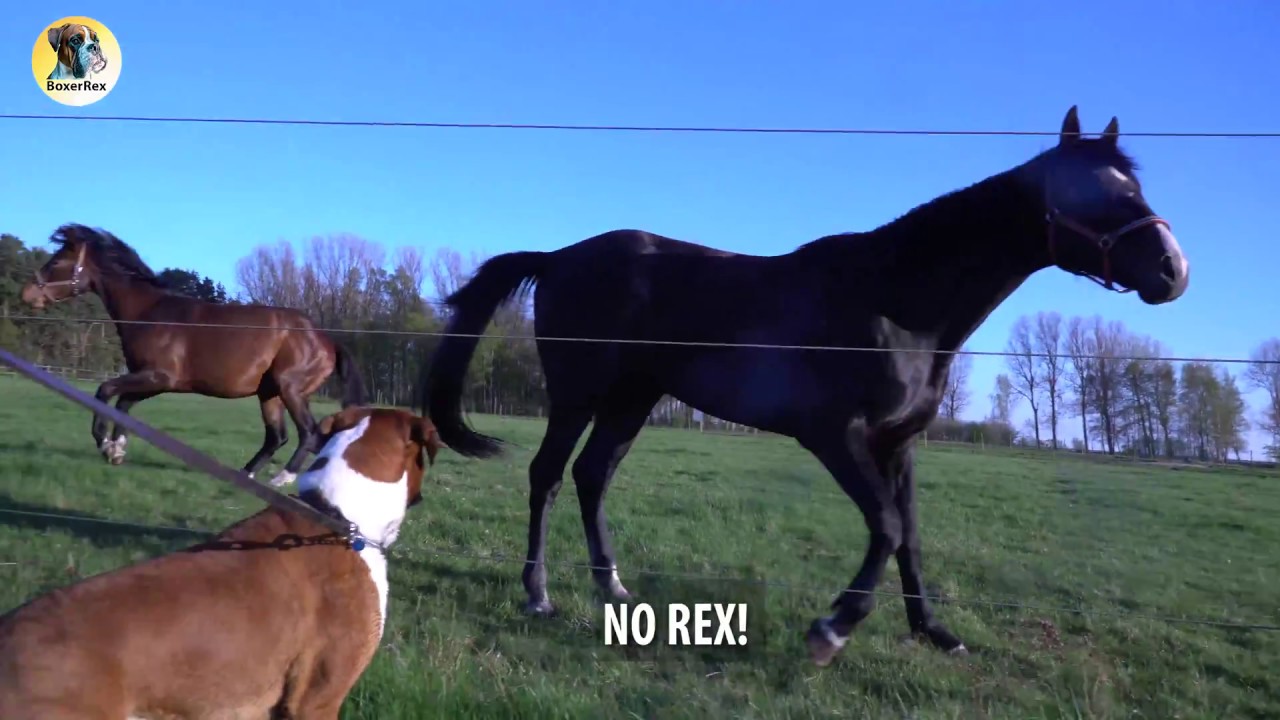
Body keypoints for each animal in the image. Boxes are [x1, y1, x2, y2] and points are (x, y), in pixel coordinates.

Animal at [19, 224, 367, 487]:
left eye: (55, 263)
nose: (27, 294)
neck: (149, 313)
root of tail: (326, 340)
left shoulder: (159, 376)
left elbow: (105, 392)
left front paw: (105, 446)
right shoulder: (156, 381)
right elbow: (124, 404)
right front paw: (117, 450)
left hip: (290, 390)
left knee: (308, 433)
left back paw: (282, 478)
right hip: (269, 394)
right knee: (276, 437)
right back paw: (244, 475)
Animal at [418, 106, 1190, 667]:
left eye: (1137, 185)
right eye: (1097, 191)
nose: (1173, 270)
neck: (896, 304)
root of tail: (557, 258)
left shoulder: (899, 444)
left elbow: (910, 534)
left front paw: (934, 632)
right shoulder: (834, 436)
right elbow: (885, 527)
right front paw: (832, 629)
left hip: (633, 400)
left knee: (591, 475)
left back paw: (612, 586)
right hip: (580, 395)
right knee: (548, 475)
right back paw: (538, 594)